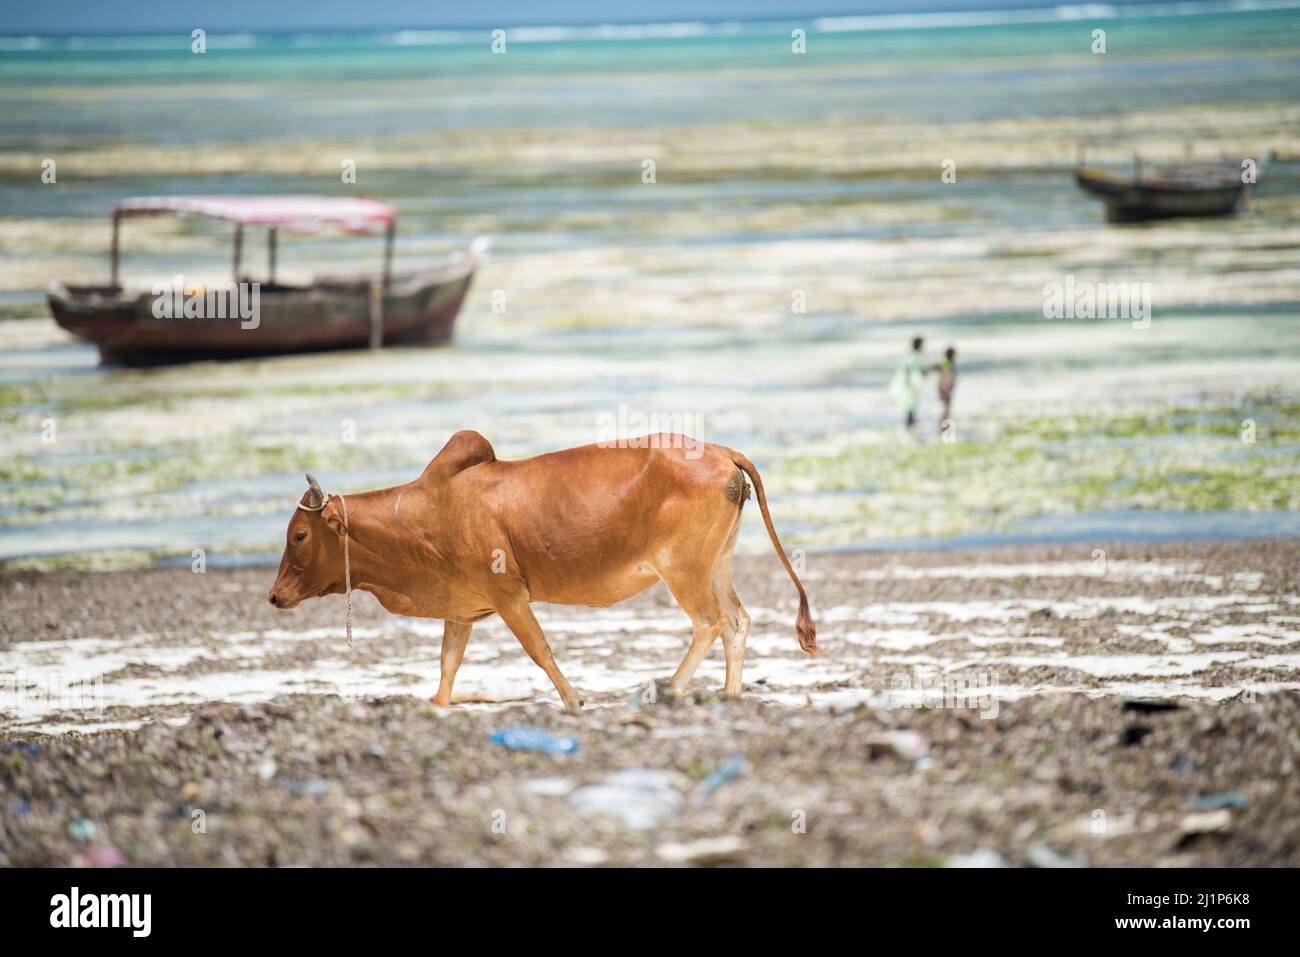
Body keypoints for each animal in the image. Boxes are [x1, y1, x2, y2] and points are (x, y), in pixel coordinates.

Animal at [268, 431, 816, 710]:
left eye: (299, 536)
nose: (274, 597)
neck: (426, 513)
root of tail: (723, 452)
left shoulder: (509, 597)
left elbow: (541, 653)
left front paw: (574, 702)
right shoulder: (461, 611)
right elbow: (447, 668)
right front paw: (439, 708)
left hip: (682, 569)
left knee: (710, 622)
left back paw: (668, 689)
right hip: (715, 564)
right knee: (737, 622)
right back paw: (730, 695)